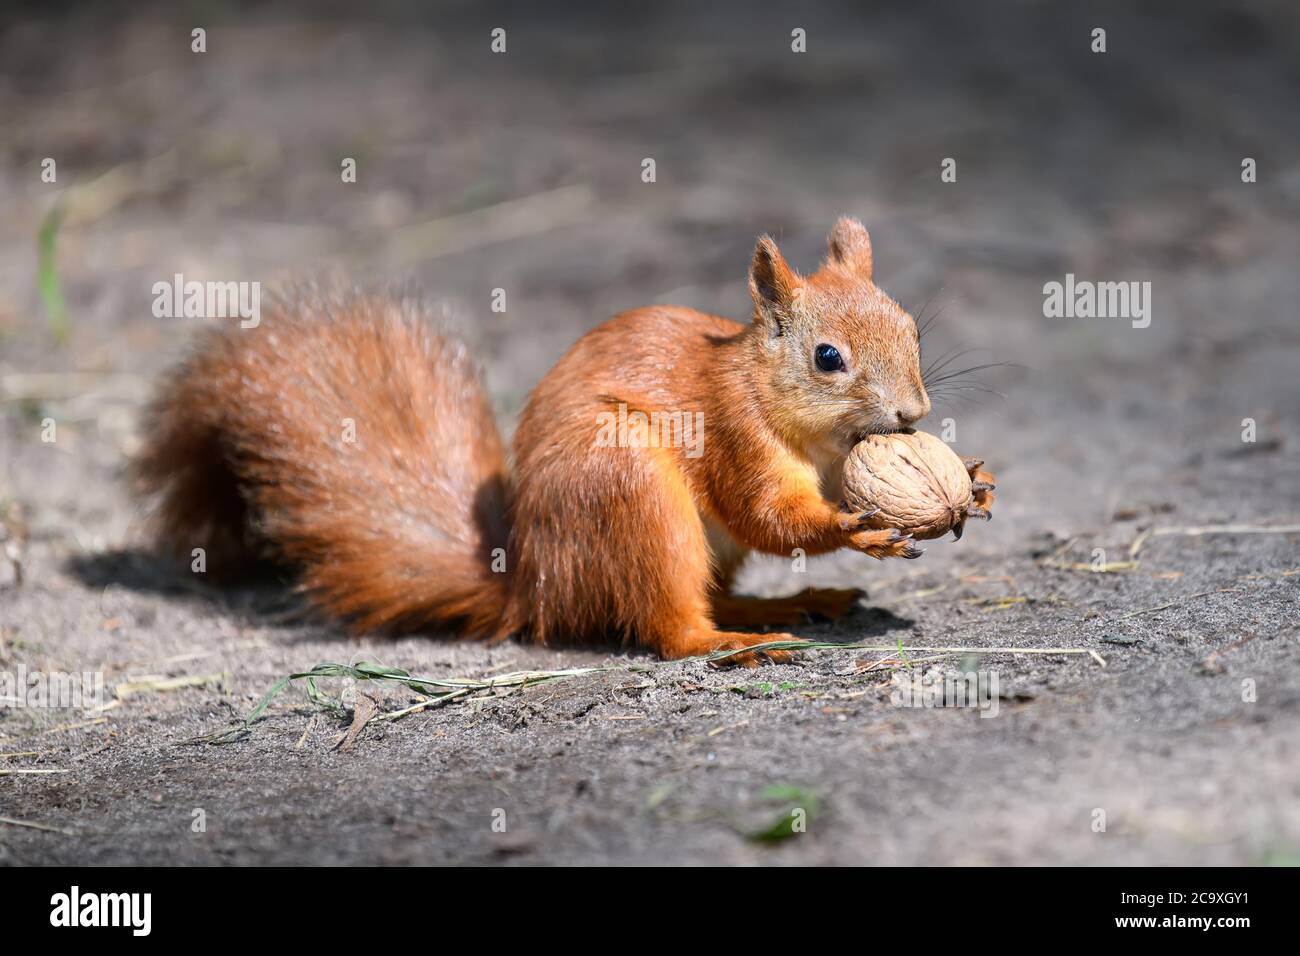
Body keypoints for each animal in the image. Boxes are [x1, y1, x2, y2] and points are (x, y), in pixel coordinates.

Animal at [135, 217, 995, 666]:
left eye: (913, 329)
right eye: (827, 358)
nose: (914, 413)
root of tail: (535, 583)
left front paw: (973, 480)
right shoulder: (732, 434)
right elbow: (768, 515)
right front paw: (856, 528)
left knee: (702, 592)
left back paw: (790, 604)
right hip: (627, 489)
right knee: (670, 625)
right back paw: (739, 639)